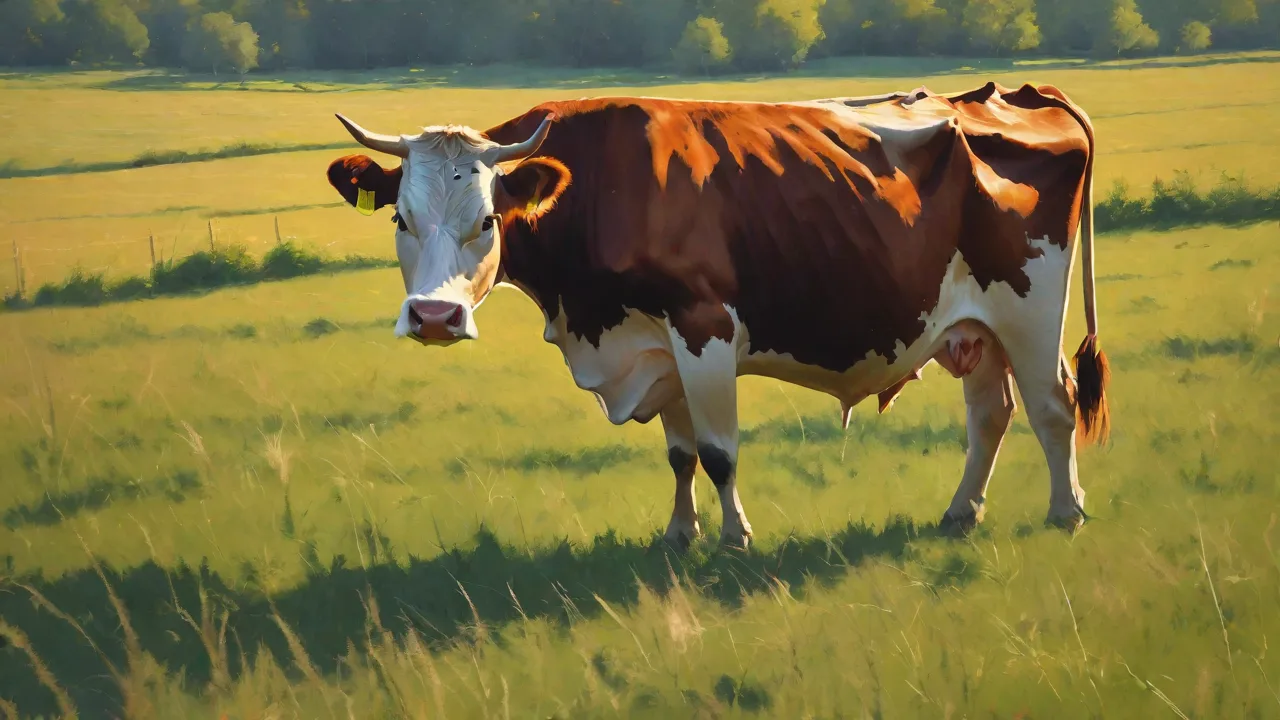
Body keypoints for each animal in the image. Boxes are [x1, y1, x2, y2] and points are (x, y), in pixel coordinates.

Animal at [324, 81, 1111, 551]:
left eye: (487, 220)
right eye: (399, 218)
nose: (434, 317)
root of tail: (1014, 93)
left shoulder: (701, 327)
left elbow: (717, 450)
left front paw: (735, 539)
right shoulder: (654, 346)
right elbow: (678, 454)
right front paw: (681, 534)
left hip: (1031, 306)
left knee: (1053, 404)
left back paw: (1066, 511)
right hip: (973, 326)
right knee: (991, 411)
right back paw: (960, 512)